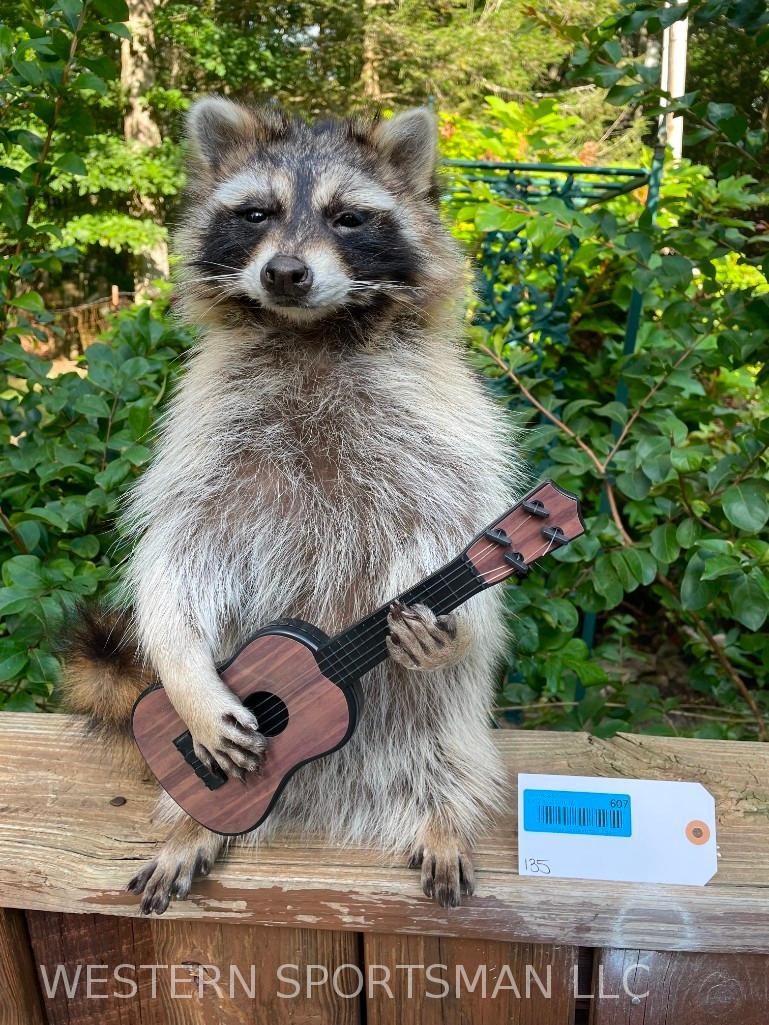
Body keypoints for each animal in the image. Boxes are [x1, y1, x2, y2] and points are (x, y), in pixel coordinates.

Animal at [62, 98, 525, 914]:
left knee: (446, 760)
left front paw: (452, 623)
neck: (310, 333)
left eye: (350, 218)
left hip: (439, 736)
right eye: (257, 213)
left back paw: (441, 817)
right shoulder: (204, 432)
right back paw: (190, 825)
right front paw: (187, 674)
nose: (284, 272)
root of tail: (325, 799)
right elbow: (177, 551)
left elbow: (450, 520)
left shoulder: (442, 428)